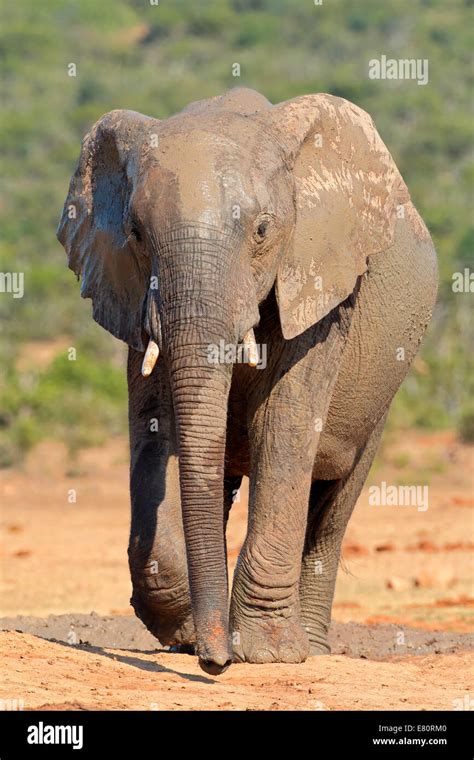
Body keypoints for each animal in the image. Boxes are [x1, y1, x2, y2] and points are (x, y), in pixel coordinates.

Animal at [57, 87, 437, 675]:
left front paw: (268, 654)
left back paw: (311, 647)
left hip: (385, 389)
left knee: (334, 500)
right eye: (136, 234)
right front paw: (187, 635)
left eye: (262, 231)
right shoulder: (133, 297)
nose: (214, 665)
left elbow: (282, 430)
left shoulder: (321, 288)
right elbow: (155, 429)